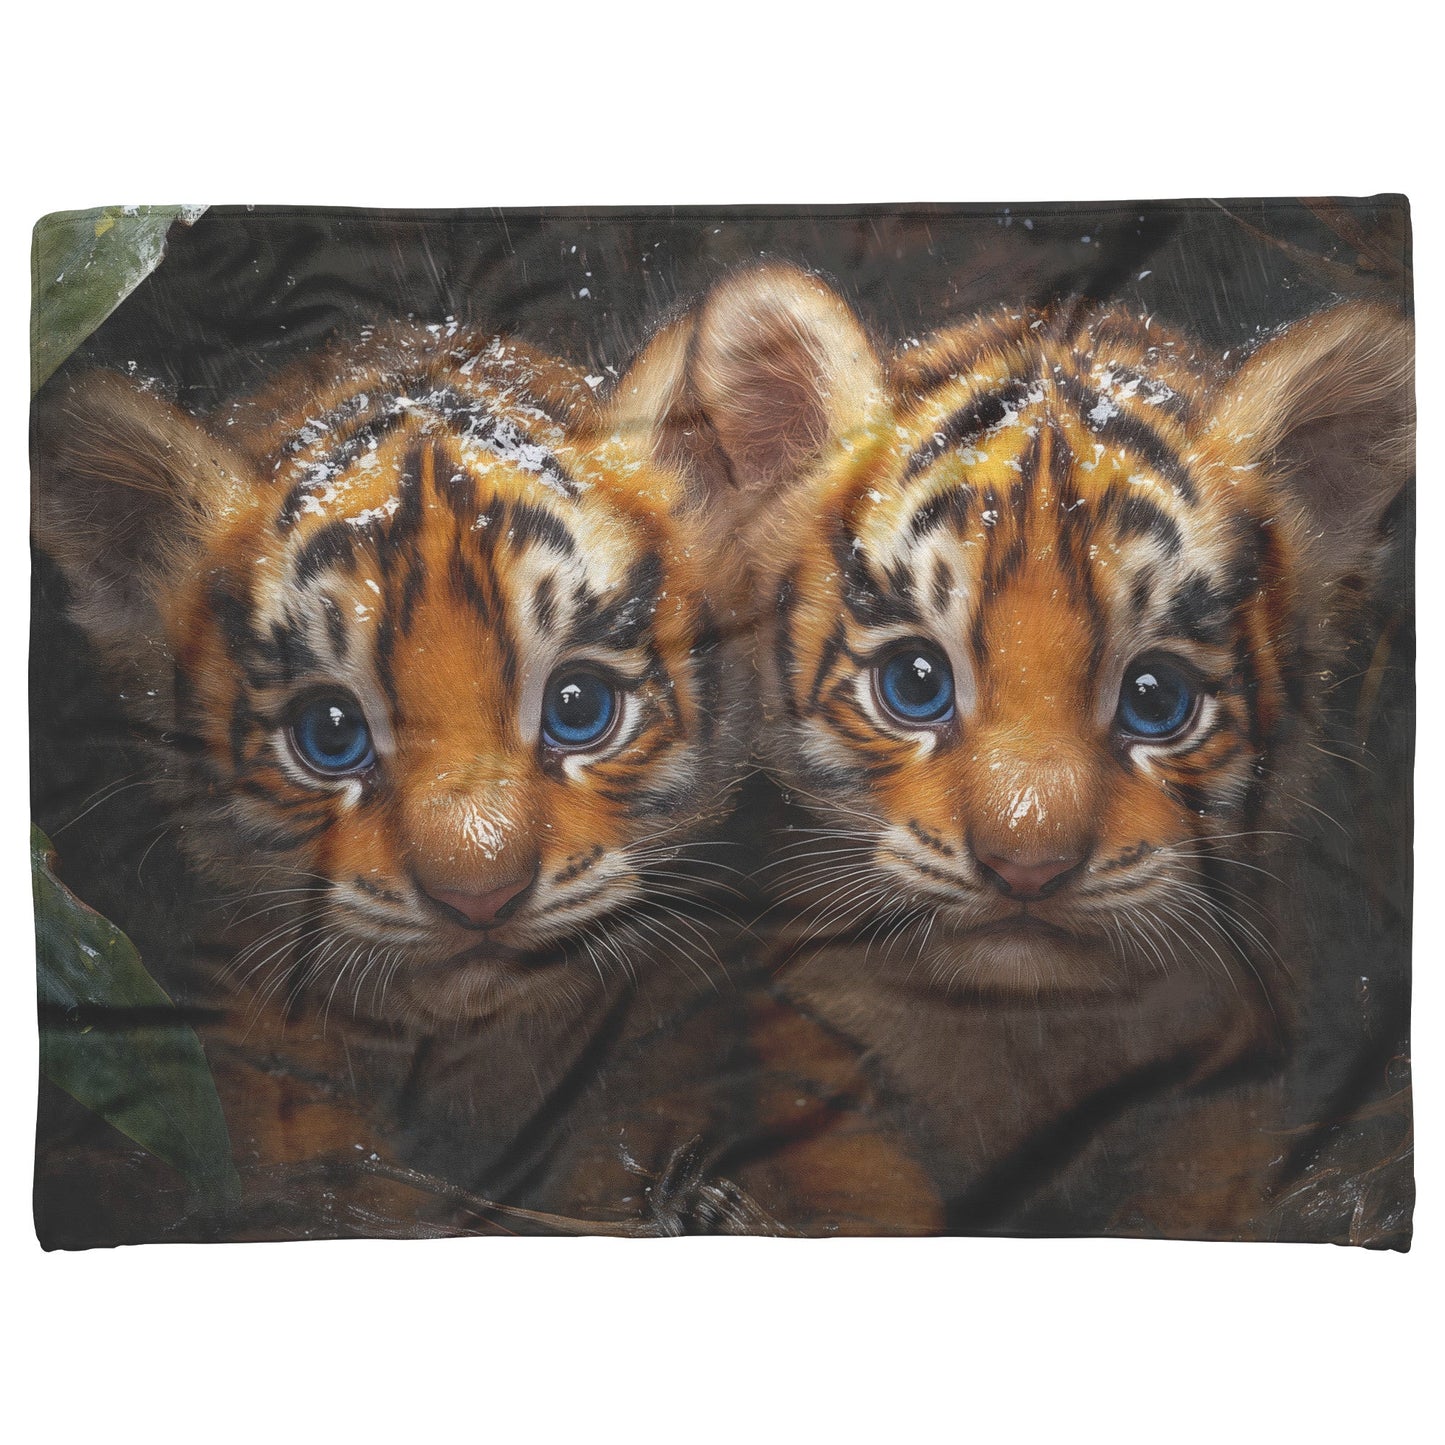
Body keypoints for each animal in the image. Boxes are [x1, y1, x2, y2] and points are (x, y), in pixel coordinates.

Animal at [623, 262, 1412, 1234]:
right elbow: (859, 1187)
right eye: (914, 682)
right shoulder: (803, 1028)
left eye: (1156, 698)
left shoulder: (1236, 1065)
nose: (1025, 866)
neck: (1019, 1034)